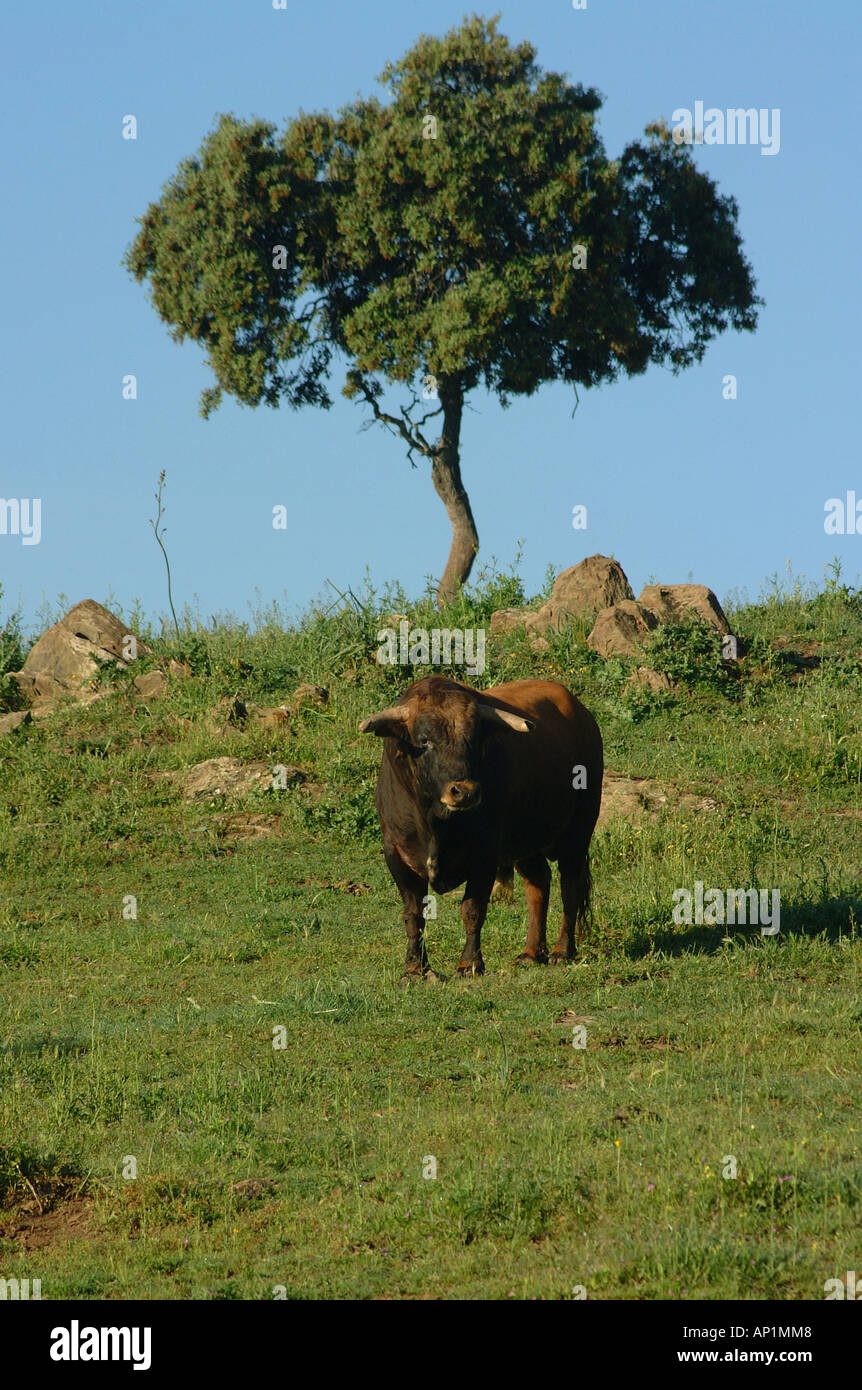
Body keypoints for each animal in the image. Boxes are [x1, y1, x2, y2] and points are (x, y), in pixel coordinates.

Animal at [359, 675, 603, 981]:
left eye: (474, 739)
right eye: (424, 740)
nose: (465, 791)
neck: (435, 823)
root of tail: (582, 714)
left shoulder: (484, 855)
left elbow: (472, 910)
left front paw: (470, 964)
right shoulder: (397, 856)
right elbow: (413, 914)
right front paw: (414, 969)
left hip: (578, 831)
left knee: (570, 885)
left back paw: (561, 951)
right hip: (524, 842)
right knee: (538, 883)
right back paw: (531, 953)